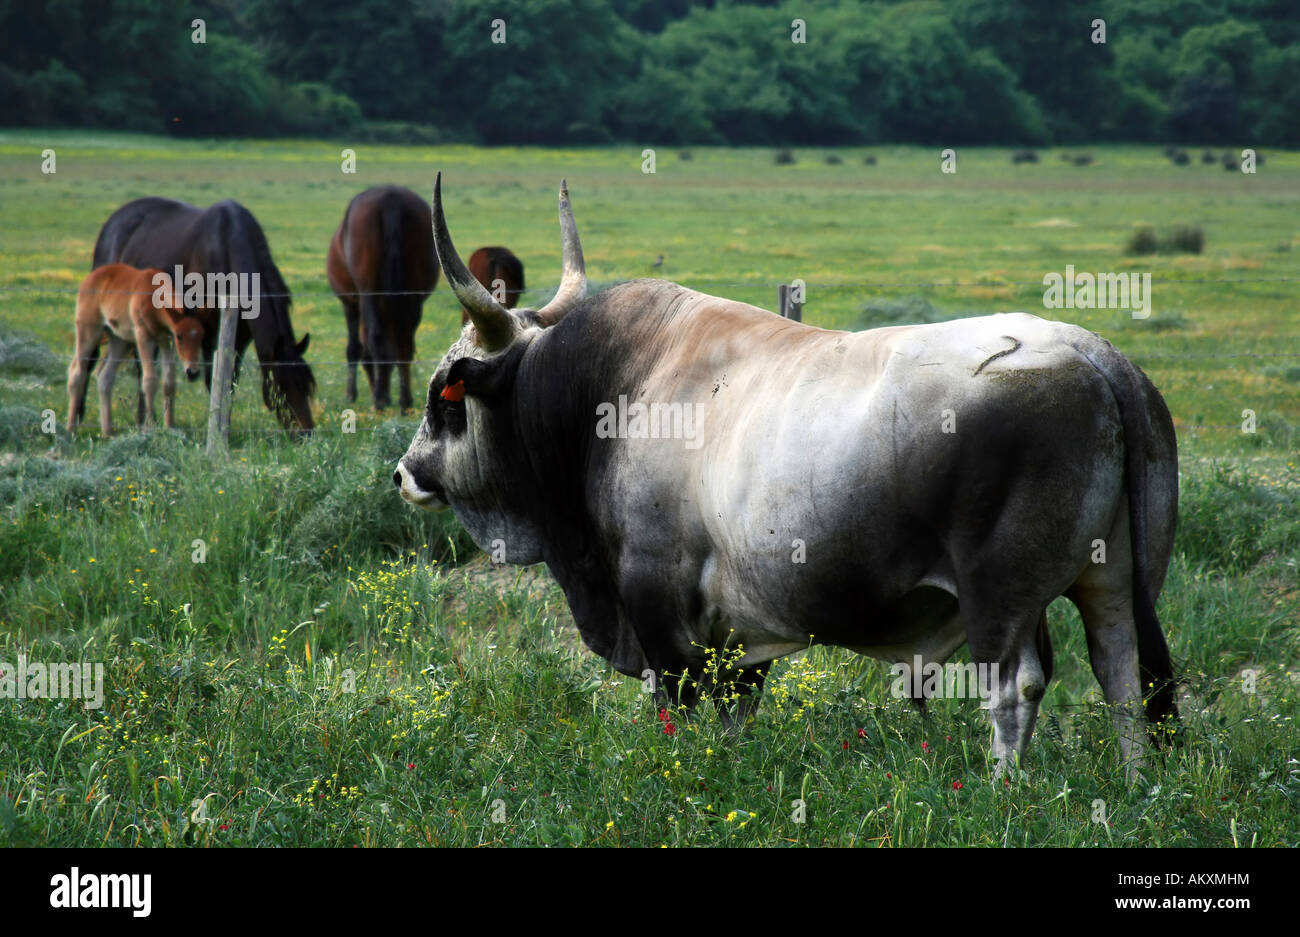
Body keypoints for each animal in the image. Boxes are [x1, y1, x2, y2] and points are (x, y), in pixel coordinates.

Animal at [328, 186, 439, 411]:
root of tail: (390, 199)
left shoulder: (350, 305)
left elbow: (355, 348)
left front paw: (353, 395)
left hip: (367, 293)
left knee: (377, 338)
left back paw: (379, 400)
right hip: (413, 298)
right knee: (404, 343)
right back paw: (404, 401)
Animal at [395, 175, 1180, 778]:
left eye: (444, 397)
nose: (404, 473)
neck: (604, 392)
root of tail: (1091, 352)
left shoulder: (657, 607)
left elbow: (678, 711)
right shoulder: (737, 638)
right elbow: (735, 716)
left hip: (1002, 597)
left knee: (1016, 687)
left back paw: (1004, 791)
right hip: (1112, 583)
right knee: (1121, 675)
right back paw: (1134, 786)